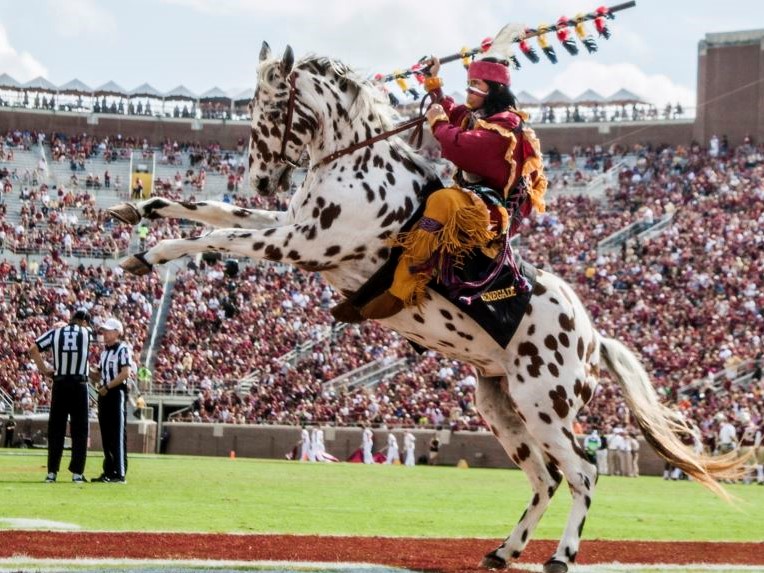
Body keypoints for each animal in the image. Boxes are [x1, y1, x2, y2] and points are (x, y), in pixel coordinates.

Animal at [113, 43, 748, 572]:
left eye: (269, 107)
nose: (262, 180)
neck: (356, 166)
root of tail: (594, 338)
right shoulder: (287, 226)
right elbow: (209, 211)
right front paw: (138, 211)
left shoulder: (299, 244)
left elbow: (218, 234)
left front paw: (150, 254)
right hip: (500, 407)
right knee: (544, 479)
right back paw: (503, 550)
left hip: (545, 410)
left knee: (583, 473)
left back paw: (560, 556)